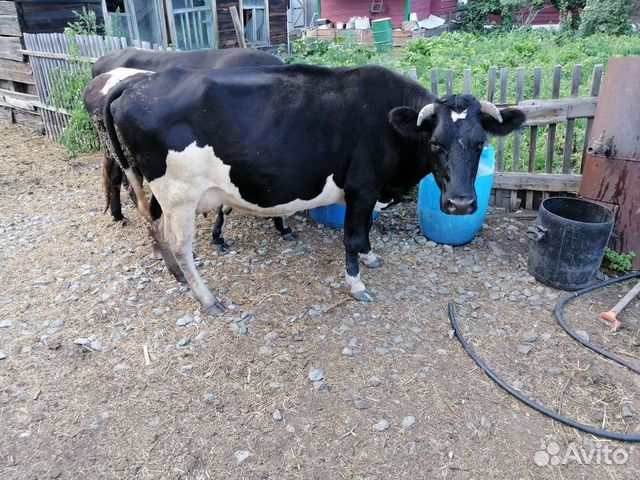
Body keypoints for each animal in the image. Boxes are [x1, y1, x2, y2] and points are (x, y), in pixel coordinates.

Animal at [103, 63, 526, 315]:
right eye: (435, 143)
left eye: (480, 143)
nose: (460, 203)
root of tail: (137, 81)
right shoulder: (362, 186)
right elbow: (352, 235)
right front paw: (356, 283)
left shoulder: (370, 192)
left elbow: (365, 231)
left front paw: (370, 257)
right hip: (178, 193)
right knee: (180, 245)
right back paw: (206, 297)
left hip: (158, 191)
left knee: (154, 224)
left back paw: (174, 274)